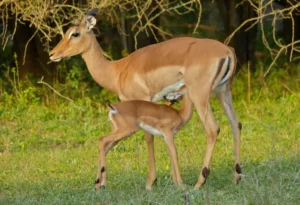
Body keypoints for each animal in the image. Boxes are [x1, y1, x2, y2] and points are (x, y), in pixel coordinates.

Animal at [48, 8, 241, 191]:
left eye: (75, 33)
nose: (52, 53)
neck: (117, 70)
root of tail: (227, 51)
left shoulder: (142, 100)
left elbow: (148, 138)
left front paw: (150, 182)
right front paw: (99, 183)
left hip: (200, 95)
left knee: (213, 129)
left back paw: (199, 183)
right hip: (223, 92)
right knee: (236, 124)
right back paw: (236, 178)